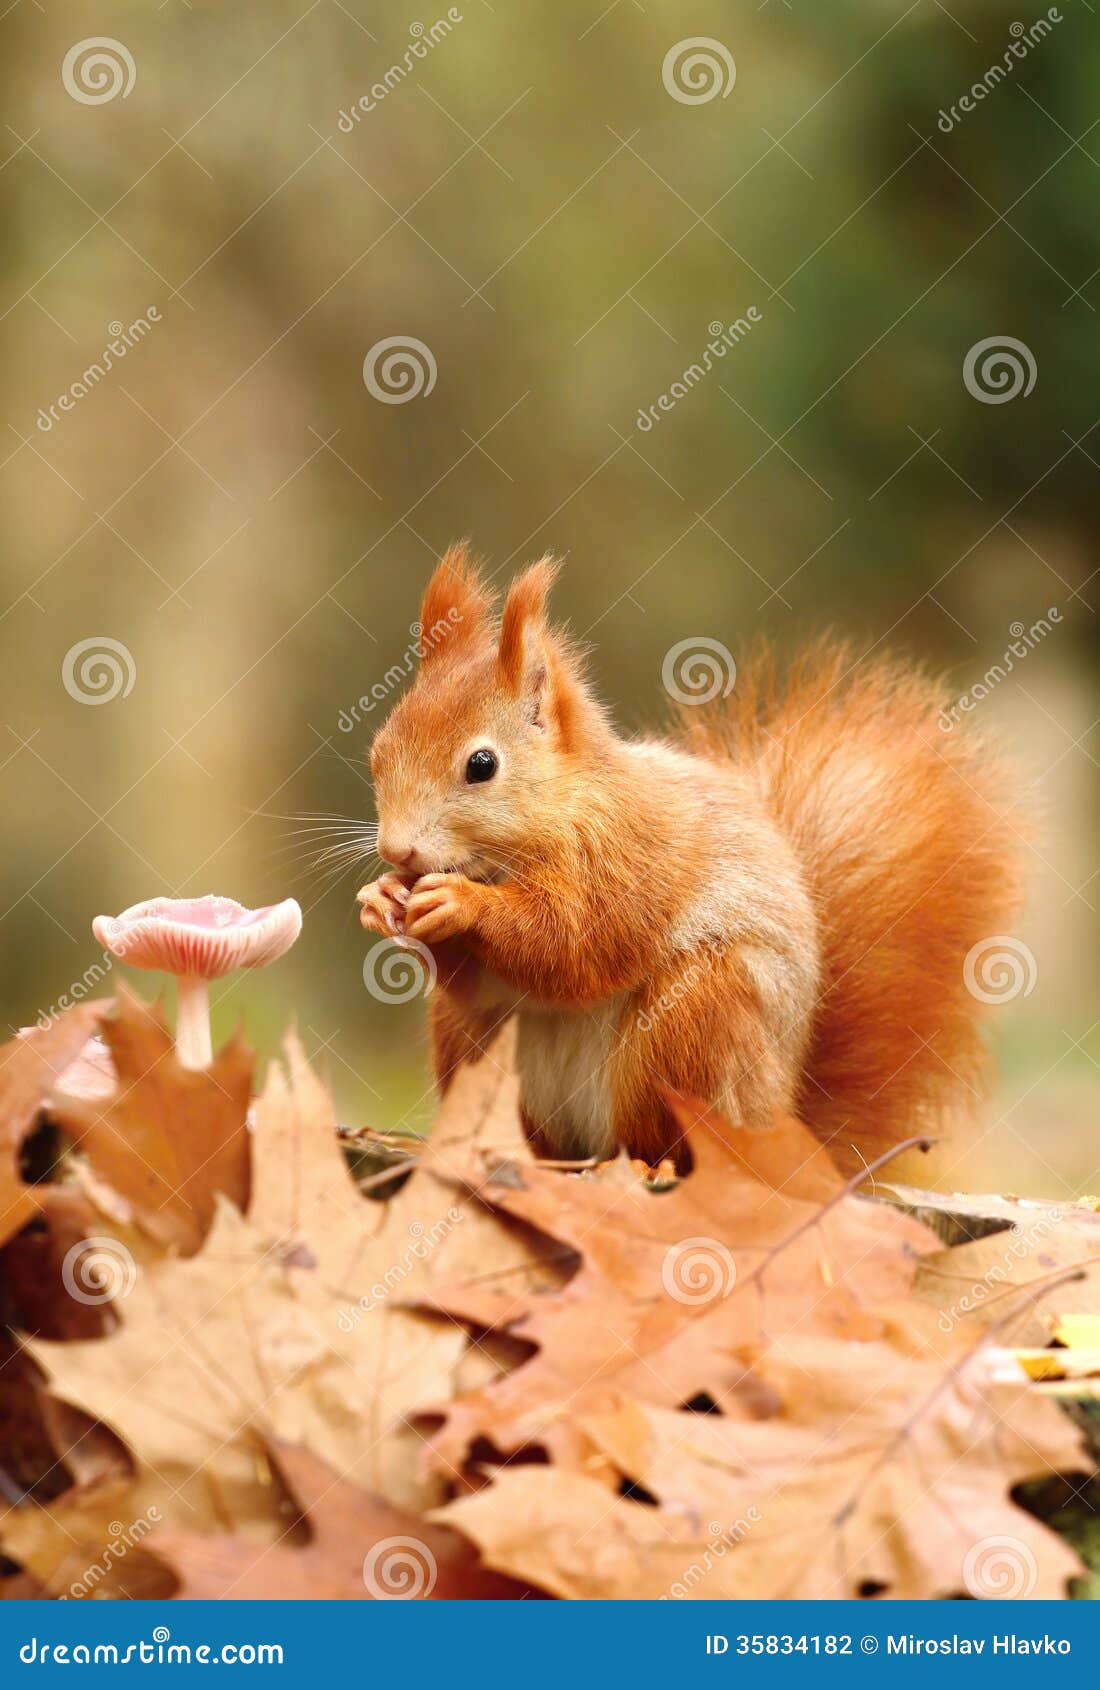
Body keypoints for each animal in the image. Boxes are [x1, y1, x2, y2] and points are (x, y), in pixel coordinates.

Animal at [357, 543, 1024, 1172]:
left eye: (482, 765)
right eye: (378, 750)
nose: (397, 848)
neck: (559, 812)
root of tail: (781, 1122)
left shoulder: (629, 855)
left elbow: (573, 943)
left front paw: (461, 902)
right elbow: (477, 982)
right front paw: (382, 899)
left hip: (697, 1019)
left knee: (660, 1136)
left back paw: (650, 1165)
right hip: (472, 1045)